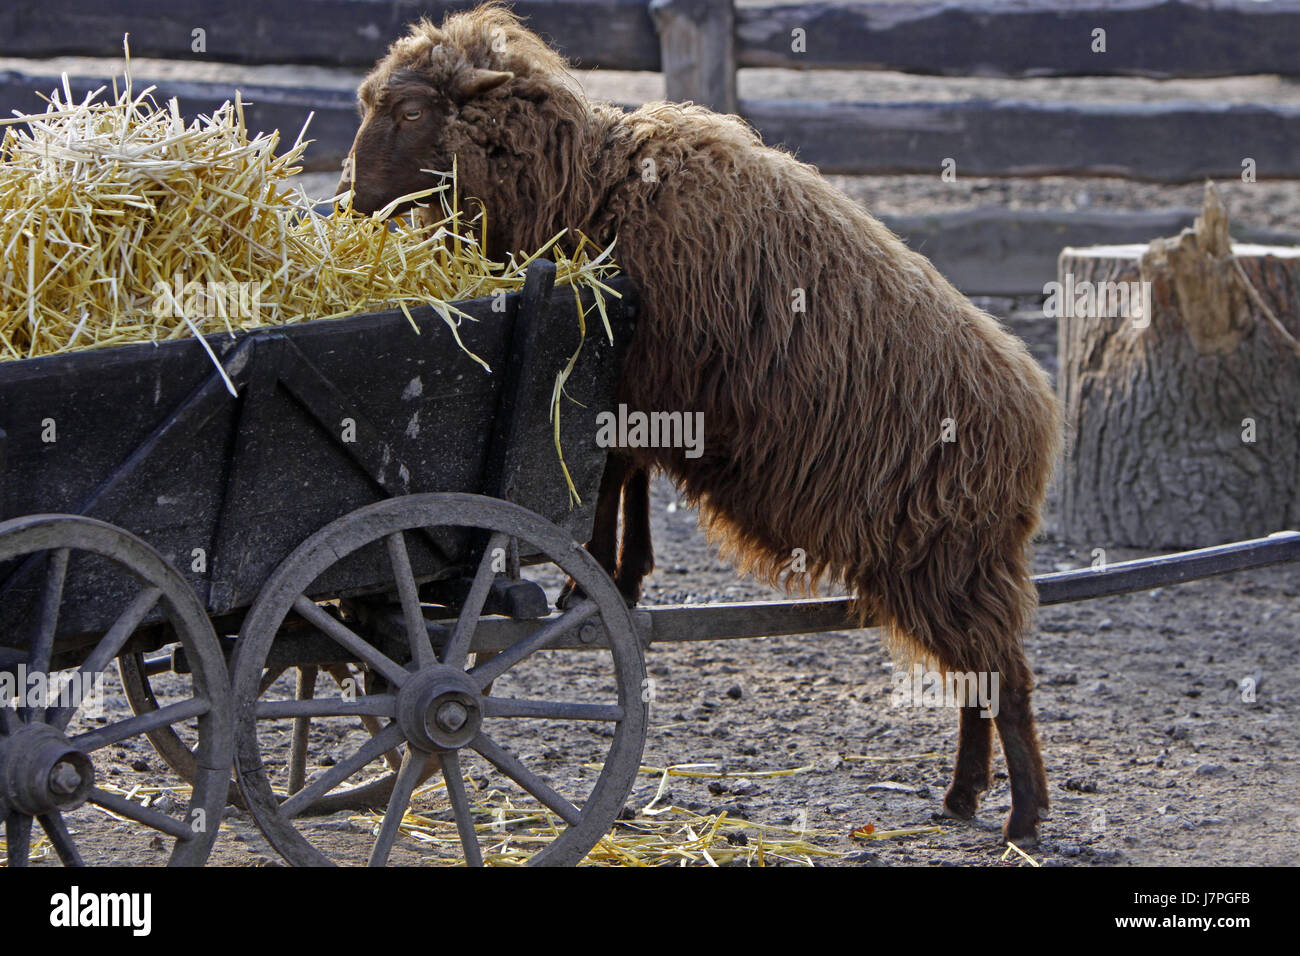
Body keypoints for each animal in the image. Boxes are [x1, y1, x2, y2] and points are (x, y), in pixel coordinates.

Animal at [338, 2, 1064, 844]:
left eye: (410, 111)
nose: (348, 200)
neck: (589, 187)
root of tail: (1036, 421)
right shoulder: (640, 388)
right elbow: (631, 480)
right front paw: (619, 576)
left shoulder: (638, 380)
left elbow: (616, 477)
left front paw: (597, 577)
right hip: (944, 565)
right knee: (980, 678)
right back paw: (965, 793)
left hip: (950, 557)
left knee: (1005, 676)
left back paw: (1021, 813)